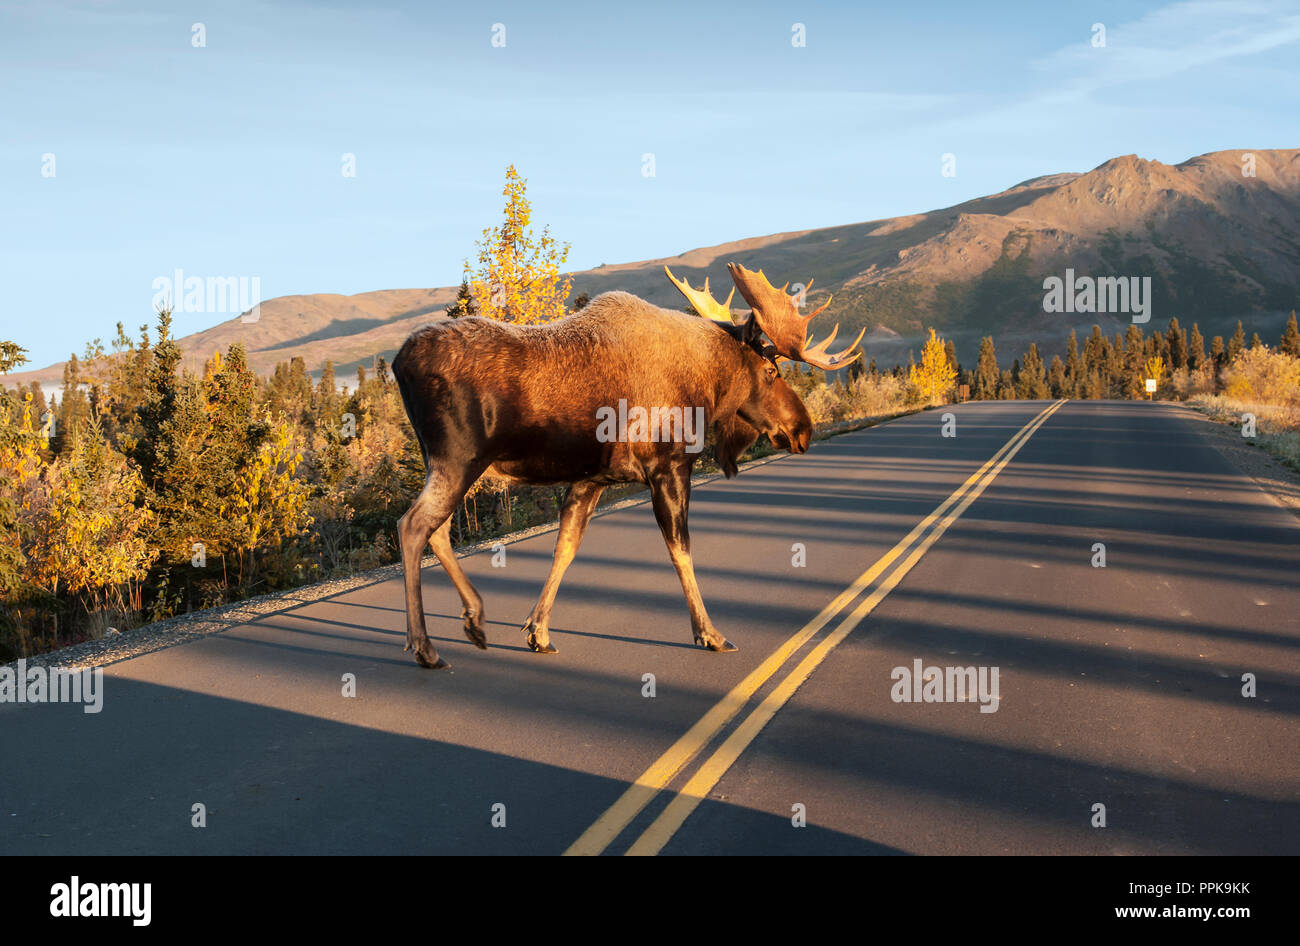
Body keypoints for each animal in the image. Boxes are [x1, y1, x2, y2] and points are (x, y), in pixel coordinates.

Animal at [391, 262, 864, 669]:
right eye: (770, 371)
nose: (803, 429)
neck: (707, 386)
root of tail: (398, 362)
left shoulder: (592, 480)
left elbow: (566, 548)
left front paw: (538, 631)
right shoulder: (668, 468)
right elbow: (681, 551)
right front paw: (709, 633)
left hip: (452, 464)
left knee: (438, 531)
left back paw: (473, 617)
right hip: (459, 459)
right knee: (412, 525)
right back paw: (425, 645)